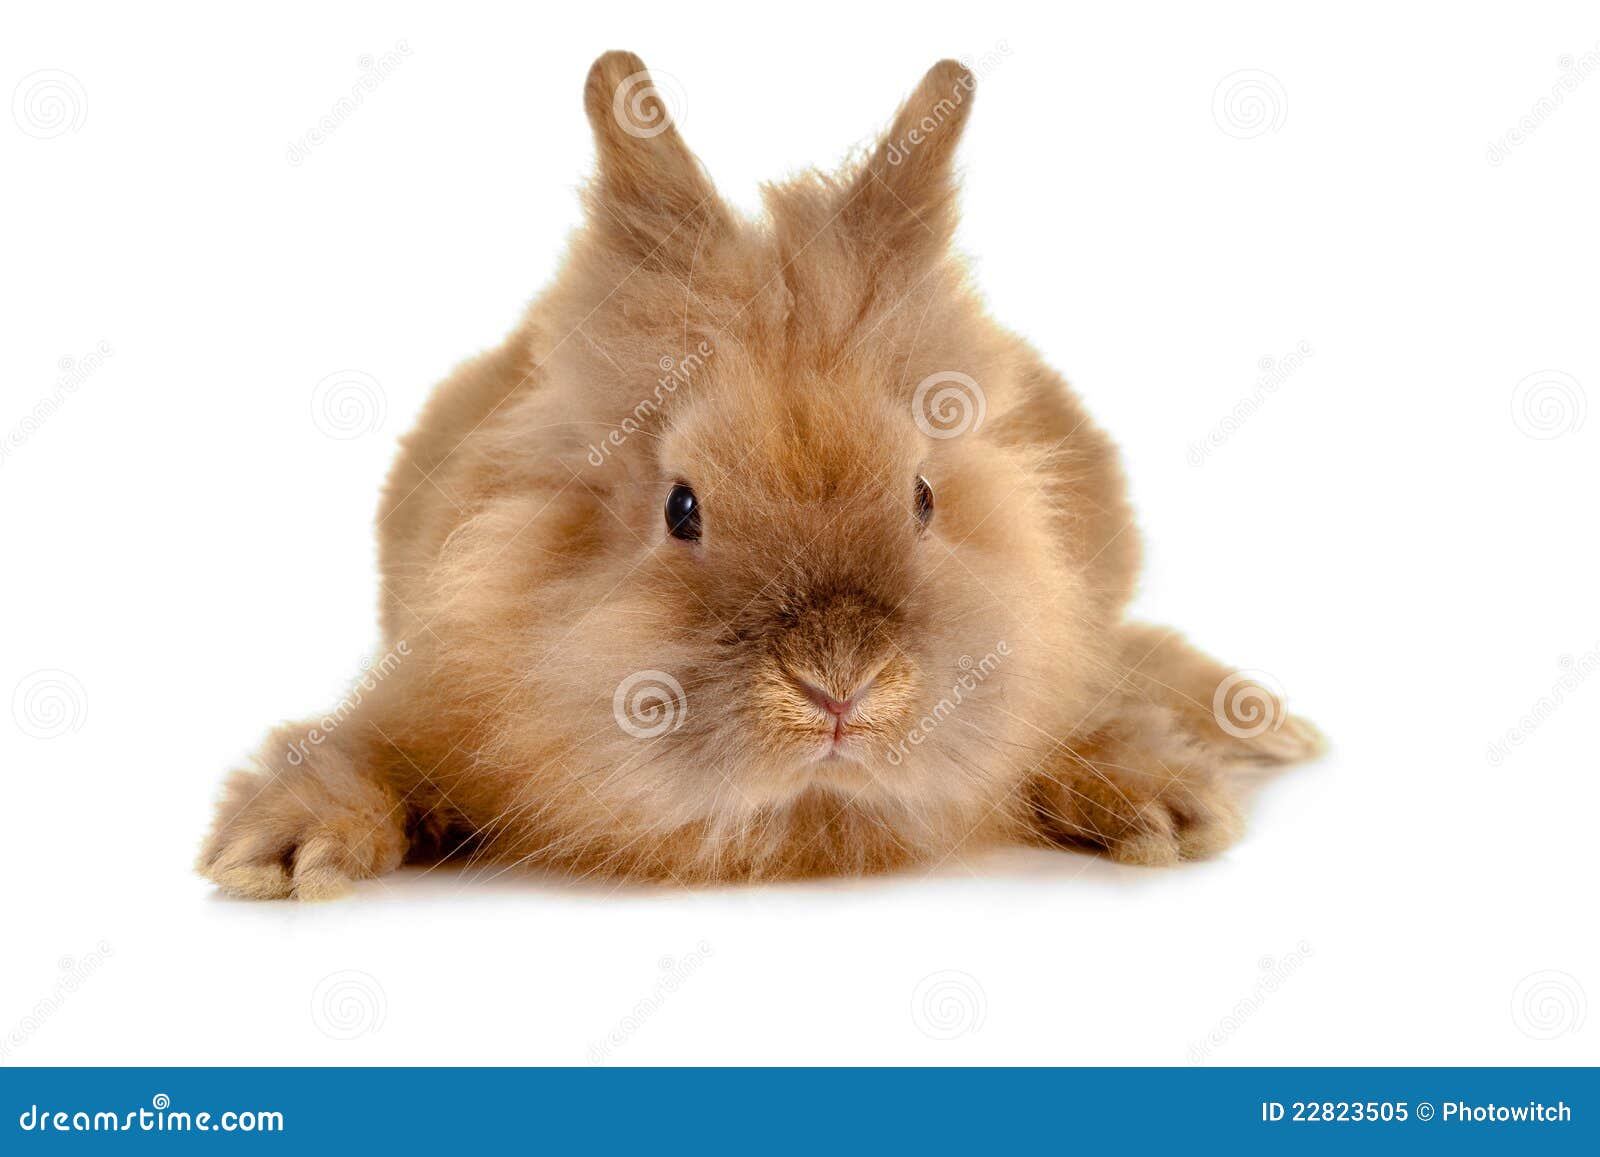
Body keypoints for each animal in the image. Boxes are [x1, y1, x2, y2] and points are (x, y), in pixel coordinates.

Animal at [198, 52, 1323, 900]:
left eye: (924, 497)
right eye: (680, 506)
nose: (839, 684)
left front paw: (1168, 804)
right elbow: (348, 750)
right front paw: (280, 849)